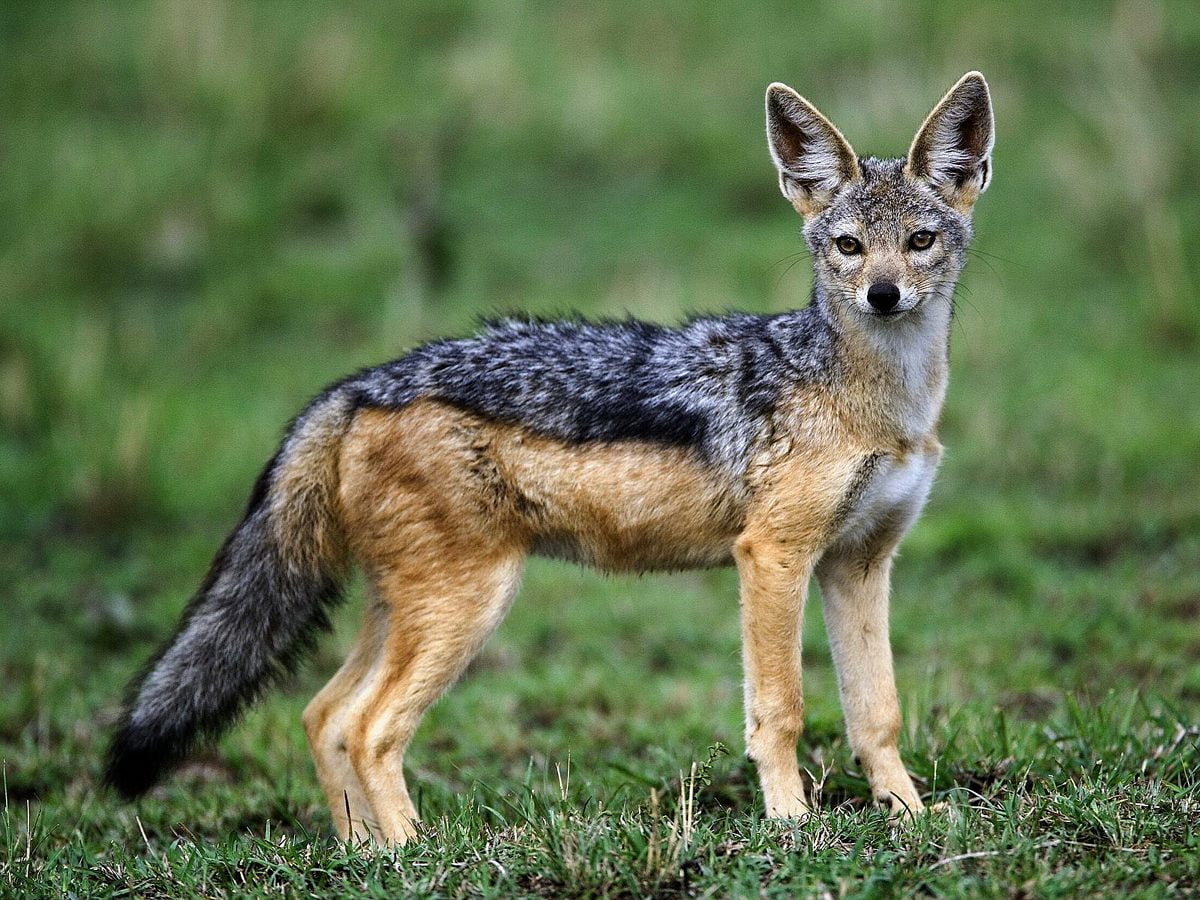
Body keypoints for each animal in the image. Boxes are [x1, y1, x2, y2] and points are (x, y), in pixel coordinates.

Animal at [106, 72, 995, 844]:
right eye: (847, 247)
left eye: (919, 242)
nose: (884, 295)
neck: (878, 405)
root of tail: (359, 386)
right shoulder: (774, 556)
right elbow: (782, 709)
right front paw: (791, 825)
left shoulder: (859, 563)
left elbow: (876, 714)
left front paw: (909, 816)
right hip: (468, 608)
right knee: (366, 727)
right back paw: (412, 855)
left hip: (411, 612)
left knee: (321, 715)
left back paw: (362, 854)